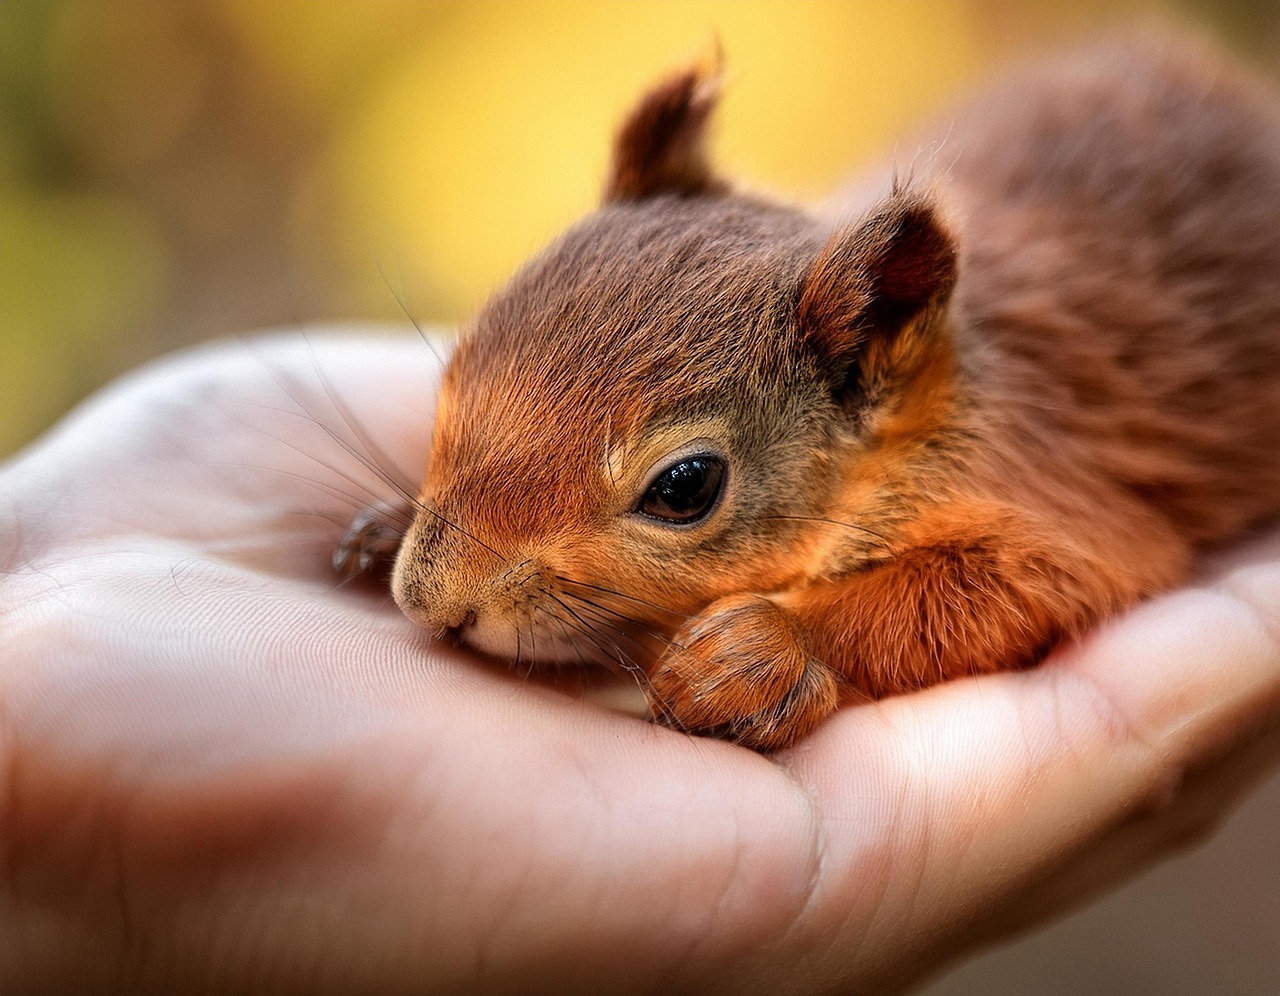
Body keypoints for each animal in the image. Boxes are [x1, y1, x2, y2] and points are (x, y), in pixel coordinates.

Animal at [335, 34, 1280, 751]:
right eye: (457, 369)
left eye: (686, 487)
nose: (433, 601)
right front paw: (380, 526)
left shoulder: (1053, 483)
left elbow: (1024, 582)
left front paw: (756, 655)